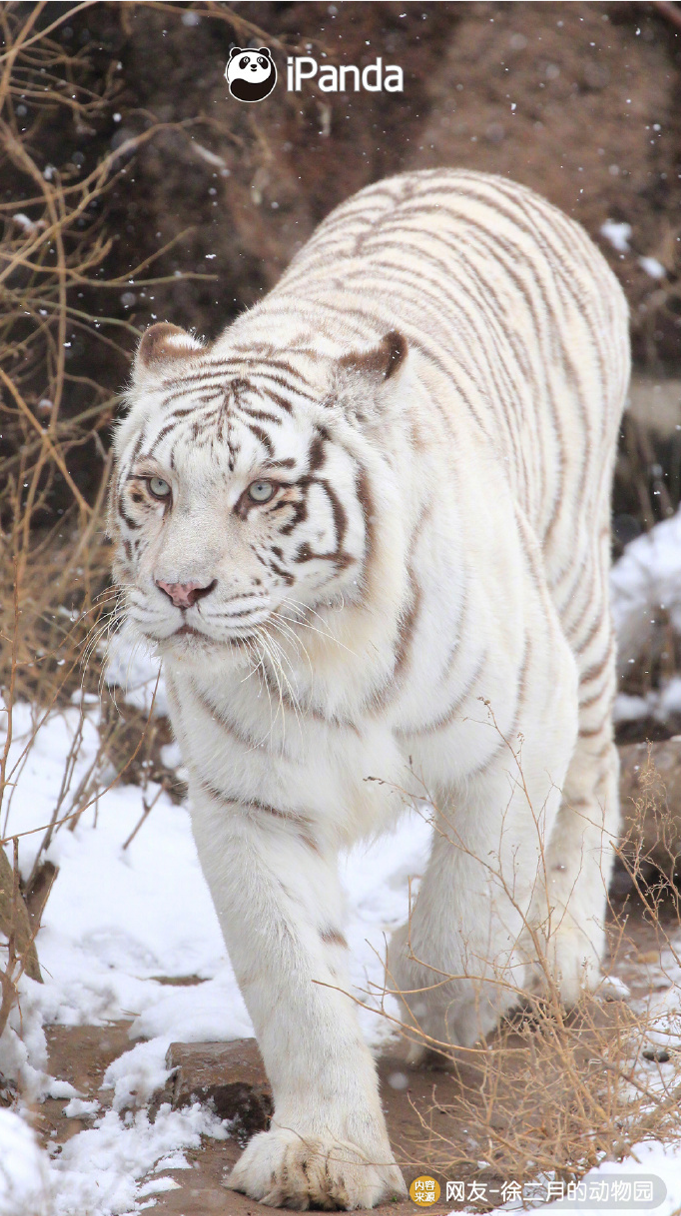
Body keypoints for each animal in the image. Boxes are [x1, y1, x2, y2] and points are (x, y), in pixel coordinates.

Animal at [109, 168, 630, 1210]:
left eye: (261, 492)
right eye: (152, 487)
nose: (178, 591)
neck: (318, 647)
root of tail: (474, 172)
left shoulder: (517, 724)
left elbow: (464, 917)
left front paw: (449, 1010)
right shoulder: (248, 800)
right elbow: (294, 980)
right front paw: (322, 1155)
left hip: (575, 602)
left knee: (597, 771)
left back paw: (559, 957)